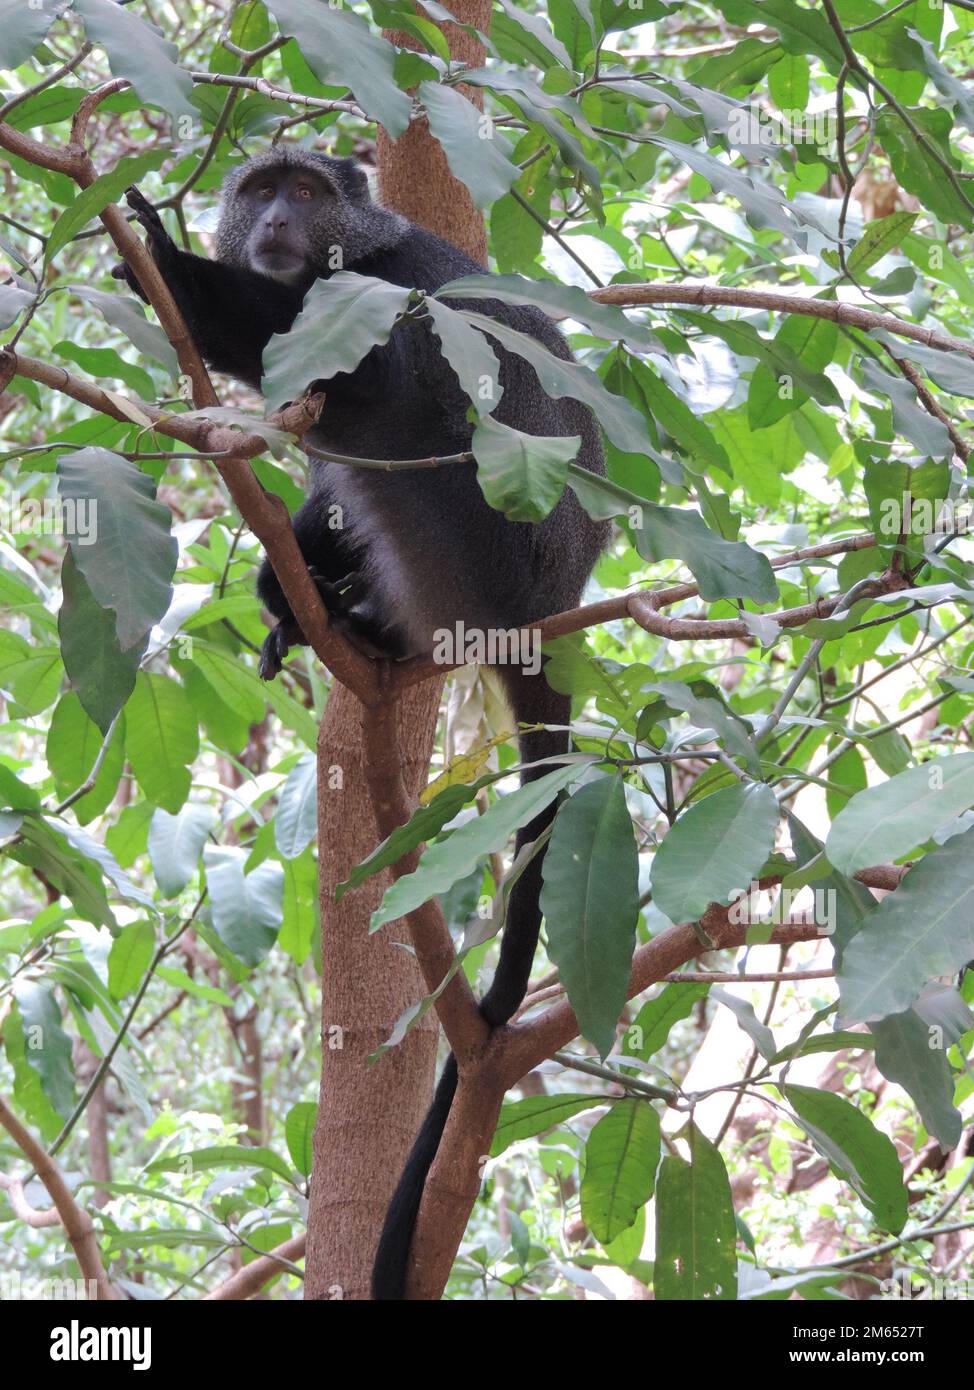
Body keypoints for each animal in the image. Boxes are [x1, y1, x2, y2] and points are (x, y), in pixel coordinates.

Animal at [114, 147, 610, 1299]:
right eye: (260, 188)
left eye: (305, 189)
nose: (276, 221)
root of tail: (551, 611)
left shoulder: (376, 293)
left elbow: (304, 345)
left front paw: (158, 251)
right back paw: (306, 603)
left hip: (474, 537)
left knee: (404, 406)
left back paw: (359, 624)